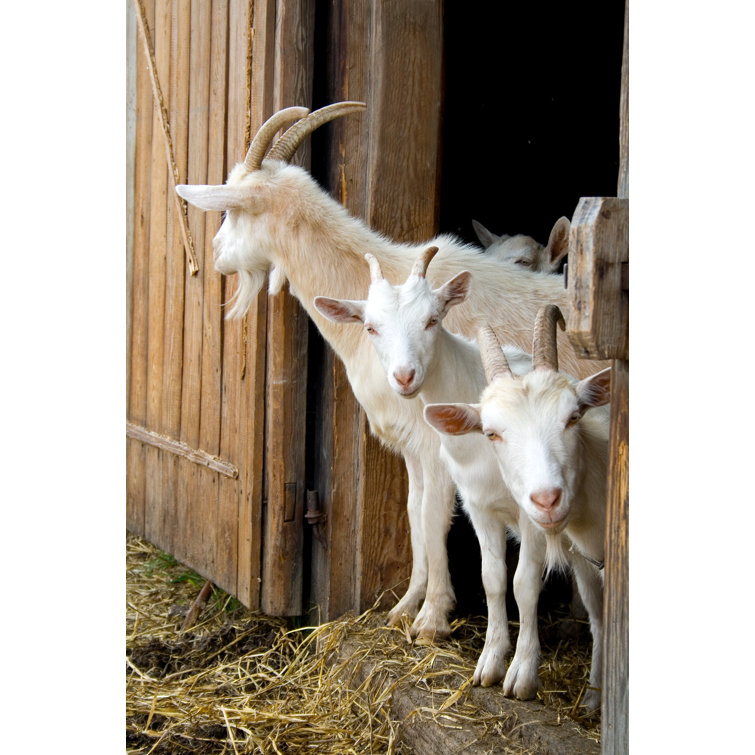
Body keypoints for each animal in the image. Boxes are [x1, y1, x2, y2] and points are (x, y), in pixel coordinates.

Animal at [176, 102, 608, 641]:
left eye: (232, 210)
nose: (215, 254)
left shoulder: (440, 444)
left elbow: (434, 519)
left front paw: (432, 618)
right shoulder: (412, 446)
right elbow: (413, 516)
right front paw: (405, 607)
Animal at [424, 305, 610, 709]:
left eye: (573, 417)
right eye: (491, 433)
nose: (548, 498)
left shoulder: (531, 520)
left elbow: (524, 582)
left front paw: (522, 674)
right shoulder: (481, 510)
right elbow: (492, 578)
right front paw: (490, 662)